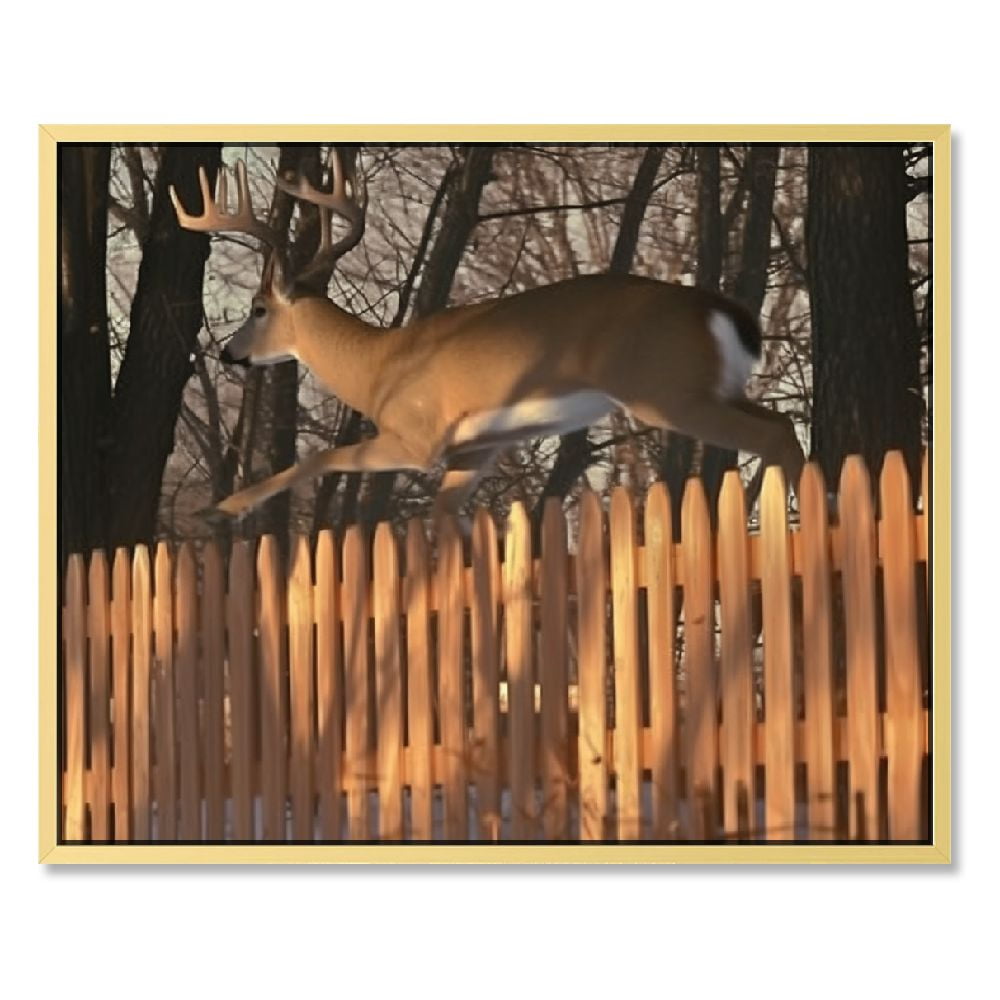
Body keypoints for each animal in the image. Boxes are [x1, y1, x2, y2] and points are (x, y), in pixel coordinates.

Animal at [171, 147, 805, 524]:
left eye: (257, 308)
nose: (230, 353)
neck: (378, 365)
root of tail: (722, 309)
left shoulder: (417, 435)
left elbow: (323, 457)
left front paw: (224, 508)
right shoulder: (477, 448)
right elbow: (442, 522)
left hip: (664, 390)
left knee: (776, 434)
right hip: (710, 388)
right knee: (781, 422)